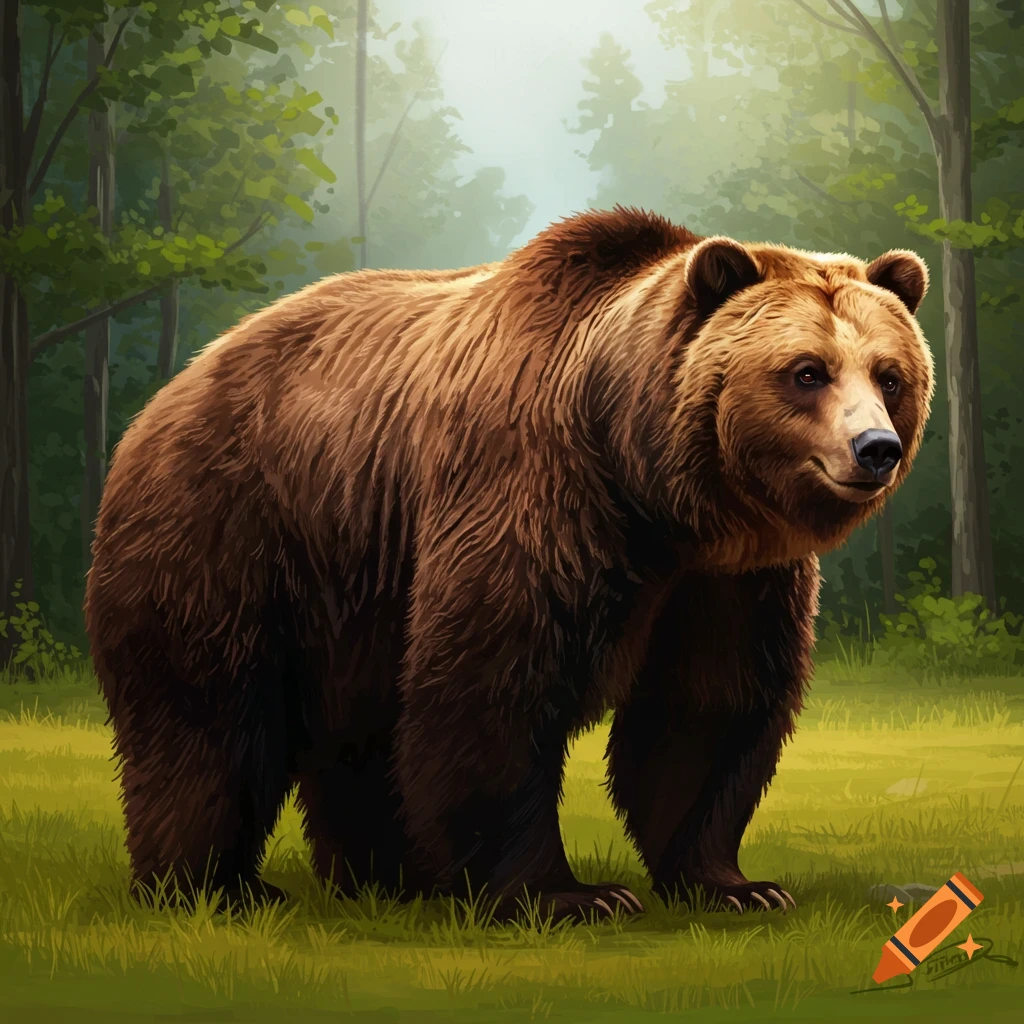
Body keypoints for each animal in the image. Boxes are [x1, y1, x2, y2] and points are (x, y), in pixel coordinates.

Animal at [83, 206, 933, 921]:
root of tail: (169, 393)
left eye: (889, 374)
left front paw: (737, 884)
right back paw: (215, 887)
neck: (656, 488)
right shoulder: (536, 492)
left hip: (354, 579)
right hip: (235, 528)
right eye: (807, 370)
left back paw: (387, 877)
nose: (876, 449)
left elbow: (708, 707)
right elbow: (496, 681)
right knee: (208, 715)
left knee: (359, 730)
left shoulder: (727, 578)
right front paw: (571, 896)